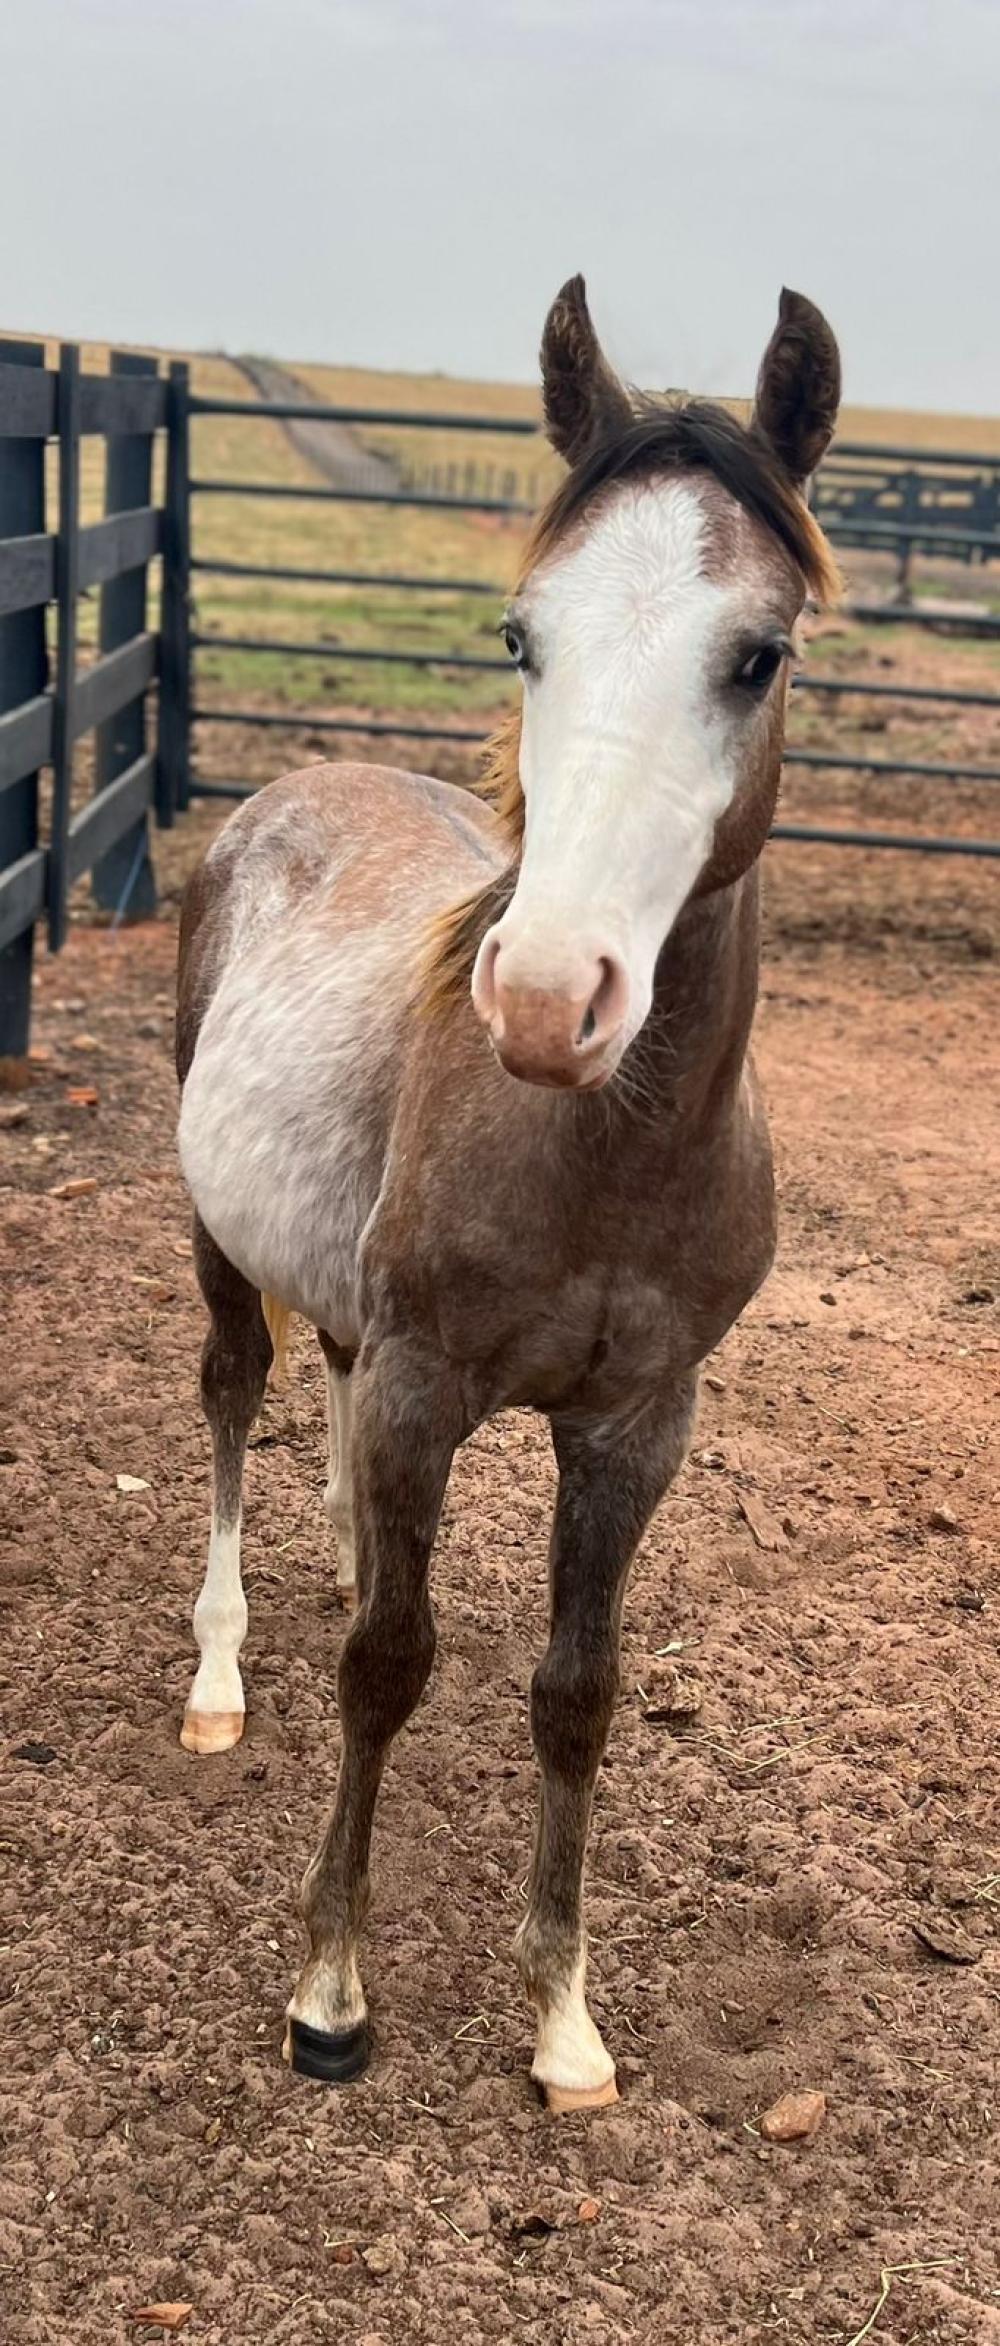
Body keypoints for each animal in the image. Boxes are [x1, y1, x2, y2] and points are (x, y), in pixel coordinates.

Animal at [175, 276, 841, 2109]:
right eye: (521, 638)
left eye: (758, 655)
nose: (548, 1000)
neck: (599, 1156)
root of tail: (295, 786)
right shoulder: (427, 1387)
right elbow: (386, 1672)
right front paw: (331, 1990)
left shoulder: (636, 1425)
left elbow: (577, 1692)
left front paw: (563, 2018)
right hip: (216, 1246)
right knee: (238, 1394)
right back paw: (218, 1664)